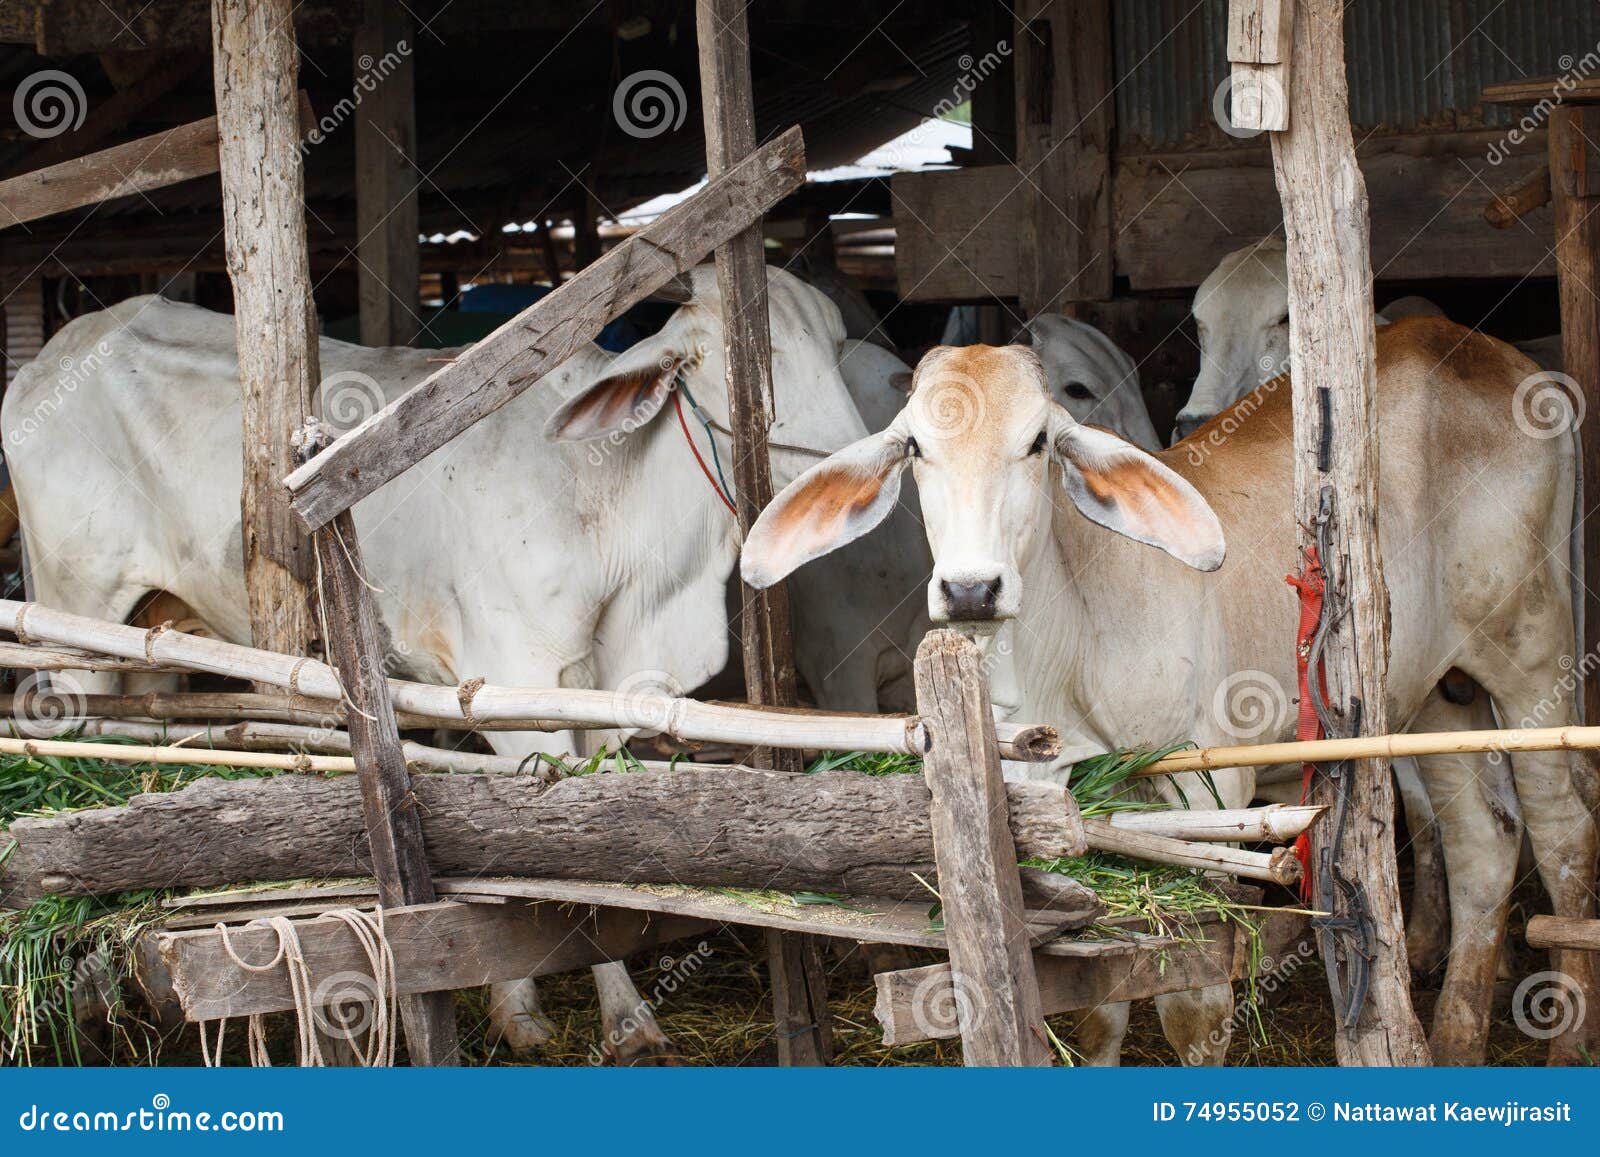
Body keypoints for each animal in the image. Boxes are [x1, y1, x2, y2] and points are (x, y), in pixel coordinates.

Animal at [739, 322, 1599, 1066]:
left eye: (1038, 442)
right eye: (917, 445)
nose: (972, 588)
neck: (1067, 649)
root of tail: (1493, 356)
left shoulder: (1206, 788)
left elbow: (1193, 1001)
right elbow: (1097, 1004)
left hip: (1531, 647)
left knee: (1564, 831)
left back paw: (1563, 1043)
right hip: (1431, 690)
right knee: (1485, 840)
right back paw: (1454, 1041)